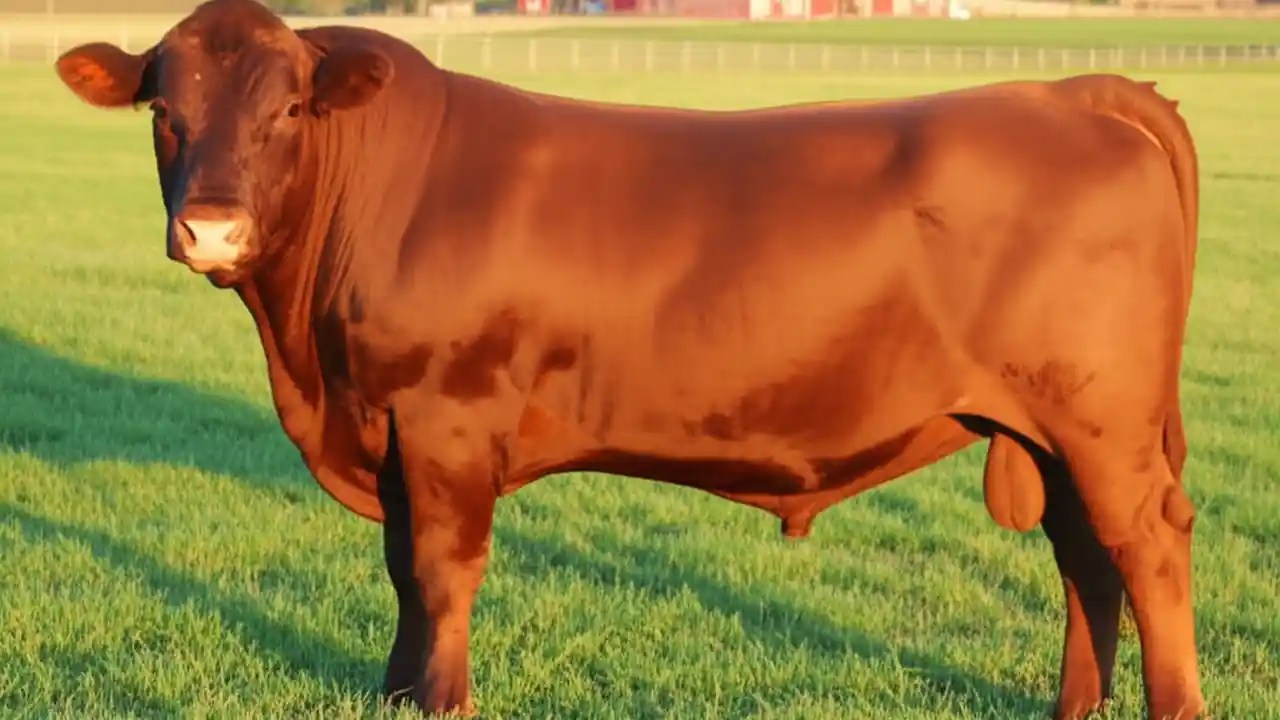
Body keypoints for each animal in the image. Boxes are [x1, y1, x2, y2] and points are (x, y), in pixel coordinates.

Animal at [53, 1, 1204, 718]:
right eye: (164, 110)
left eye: (289, 108)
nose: (211, 228)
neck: (311, 369)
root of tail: (1072, 91)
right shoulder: (389, 430)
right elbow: (400, 574)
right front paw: (394, 694)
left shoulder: (446, 418)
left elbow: (442, 571)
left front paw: (443, 699)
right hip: (1055, 434)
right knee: (1084, 560)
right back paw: (1074, 707)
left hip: (1101, 427)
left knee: (1145, 551)